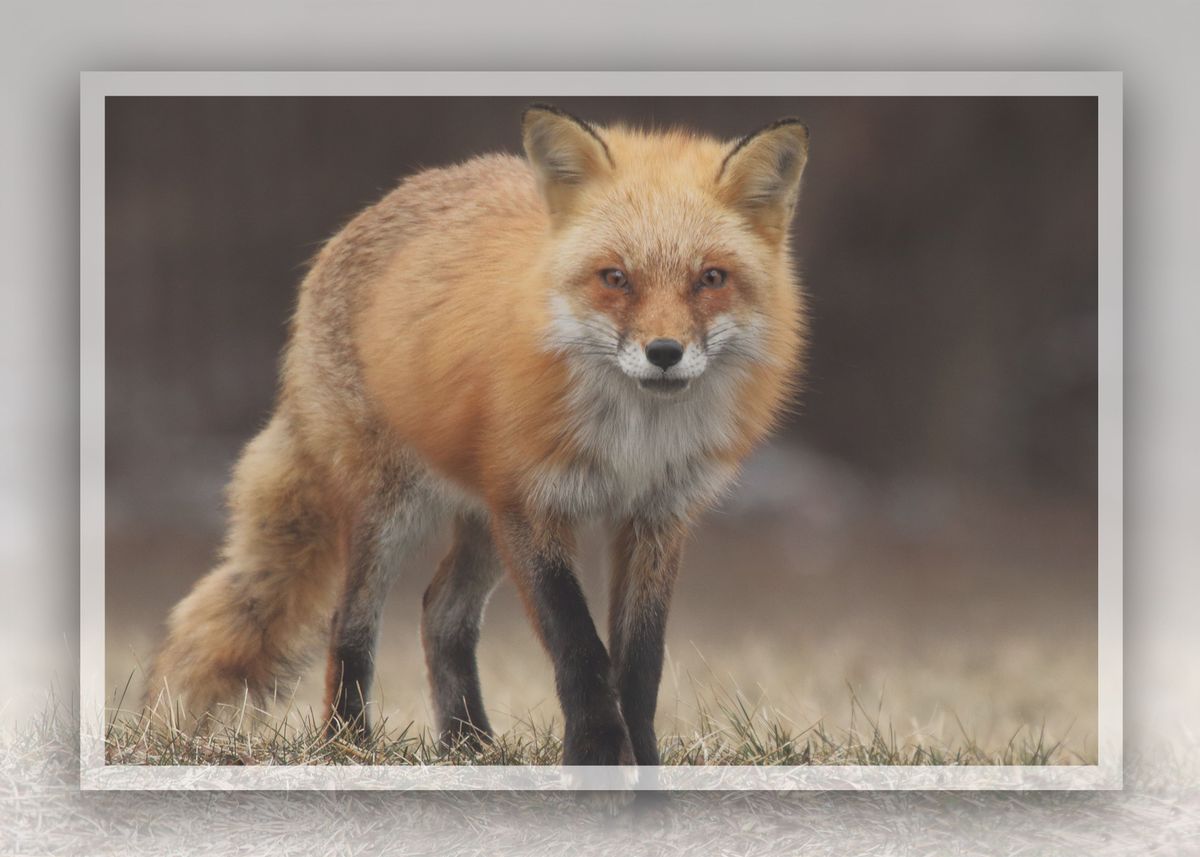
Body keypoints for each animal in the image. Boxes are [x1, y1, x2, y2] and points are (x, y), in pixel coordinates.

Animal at [144, 104, 809, 767]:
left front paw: (642, 763)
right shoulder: (532, 505)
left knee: (440, 613)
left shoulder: (657, 517)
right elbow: (579, 648)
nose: (664, 353)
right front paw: (596, 757)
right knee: (348, 622)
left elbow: (640, 665)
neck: (633, 440)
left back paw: (469, 743)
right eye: (615, 278)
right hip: (395, 509)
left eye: (712, 278)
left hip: (484, 520)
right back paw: (349, 741)